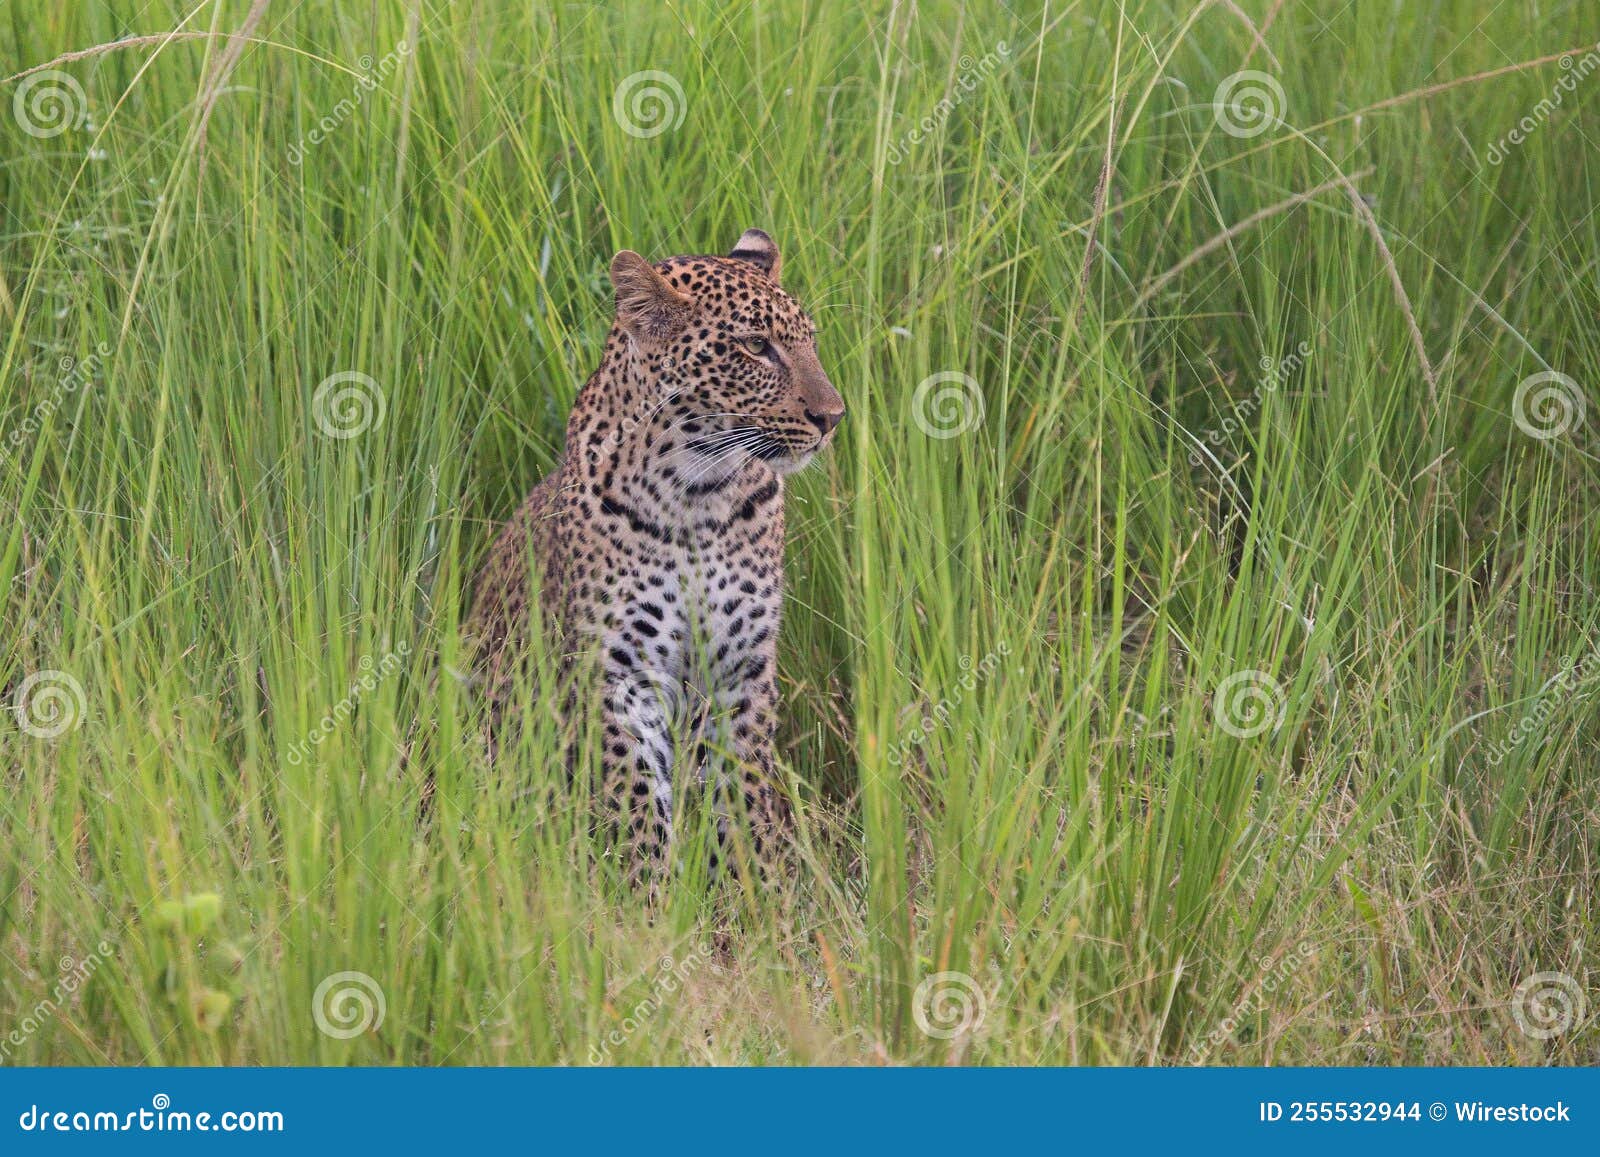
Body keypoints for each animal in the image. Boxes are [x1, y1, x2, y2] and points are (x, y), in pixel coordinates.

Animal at [466, 228, 844, 883]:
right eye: (755, 346)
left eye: (810, 341)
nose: (833, 417)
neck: (698, 494)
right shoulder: (618, 673)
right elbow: (639, 802)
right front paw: (648, 898)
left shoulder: (741, 669)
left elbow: (742, 794)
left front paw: (756, 893)